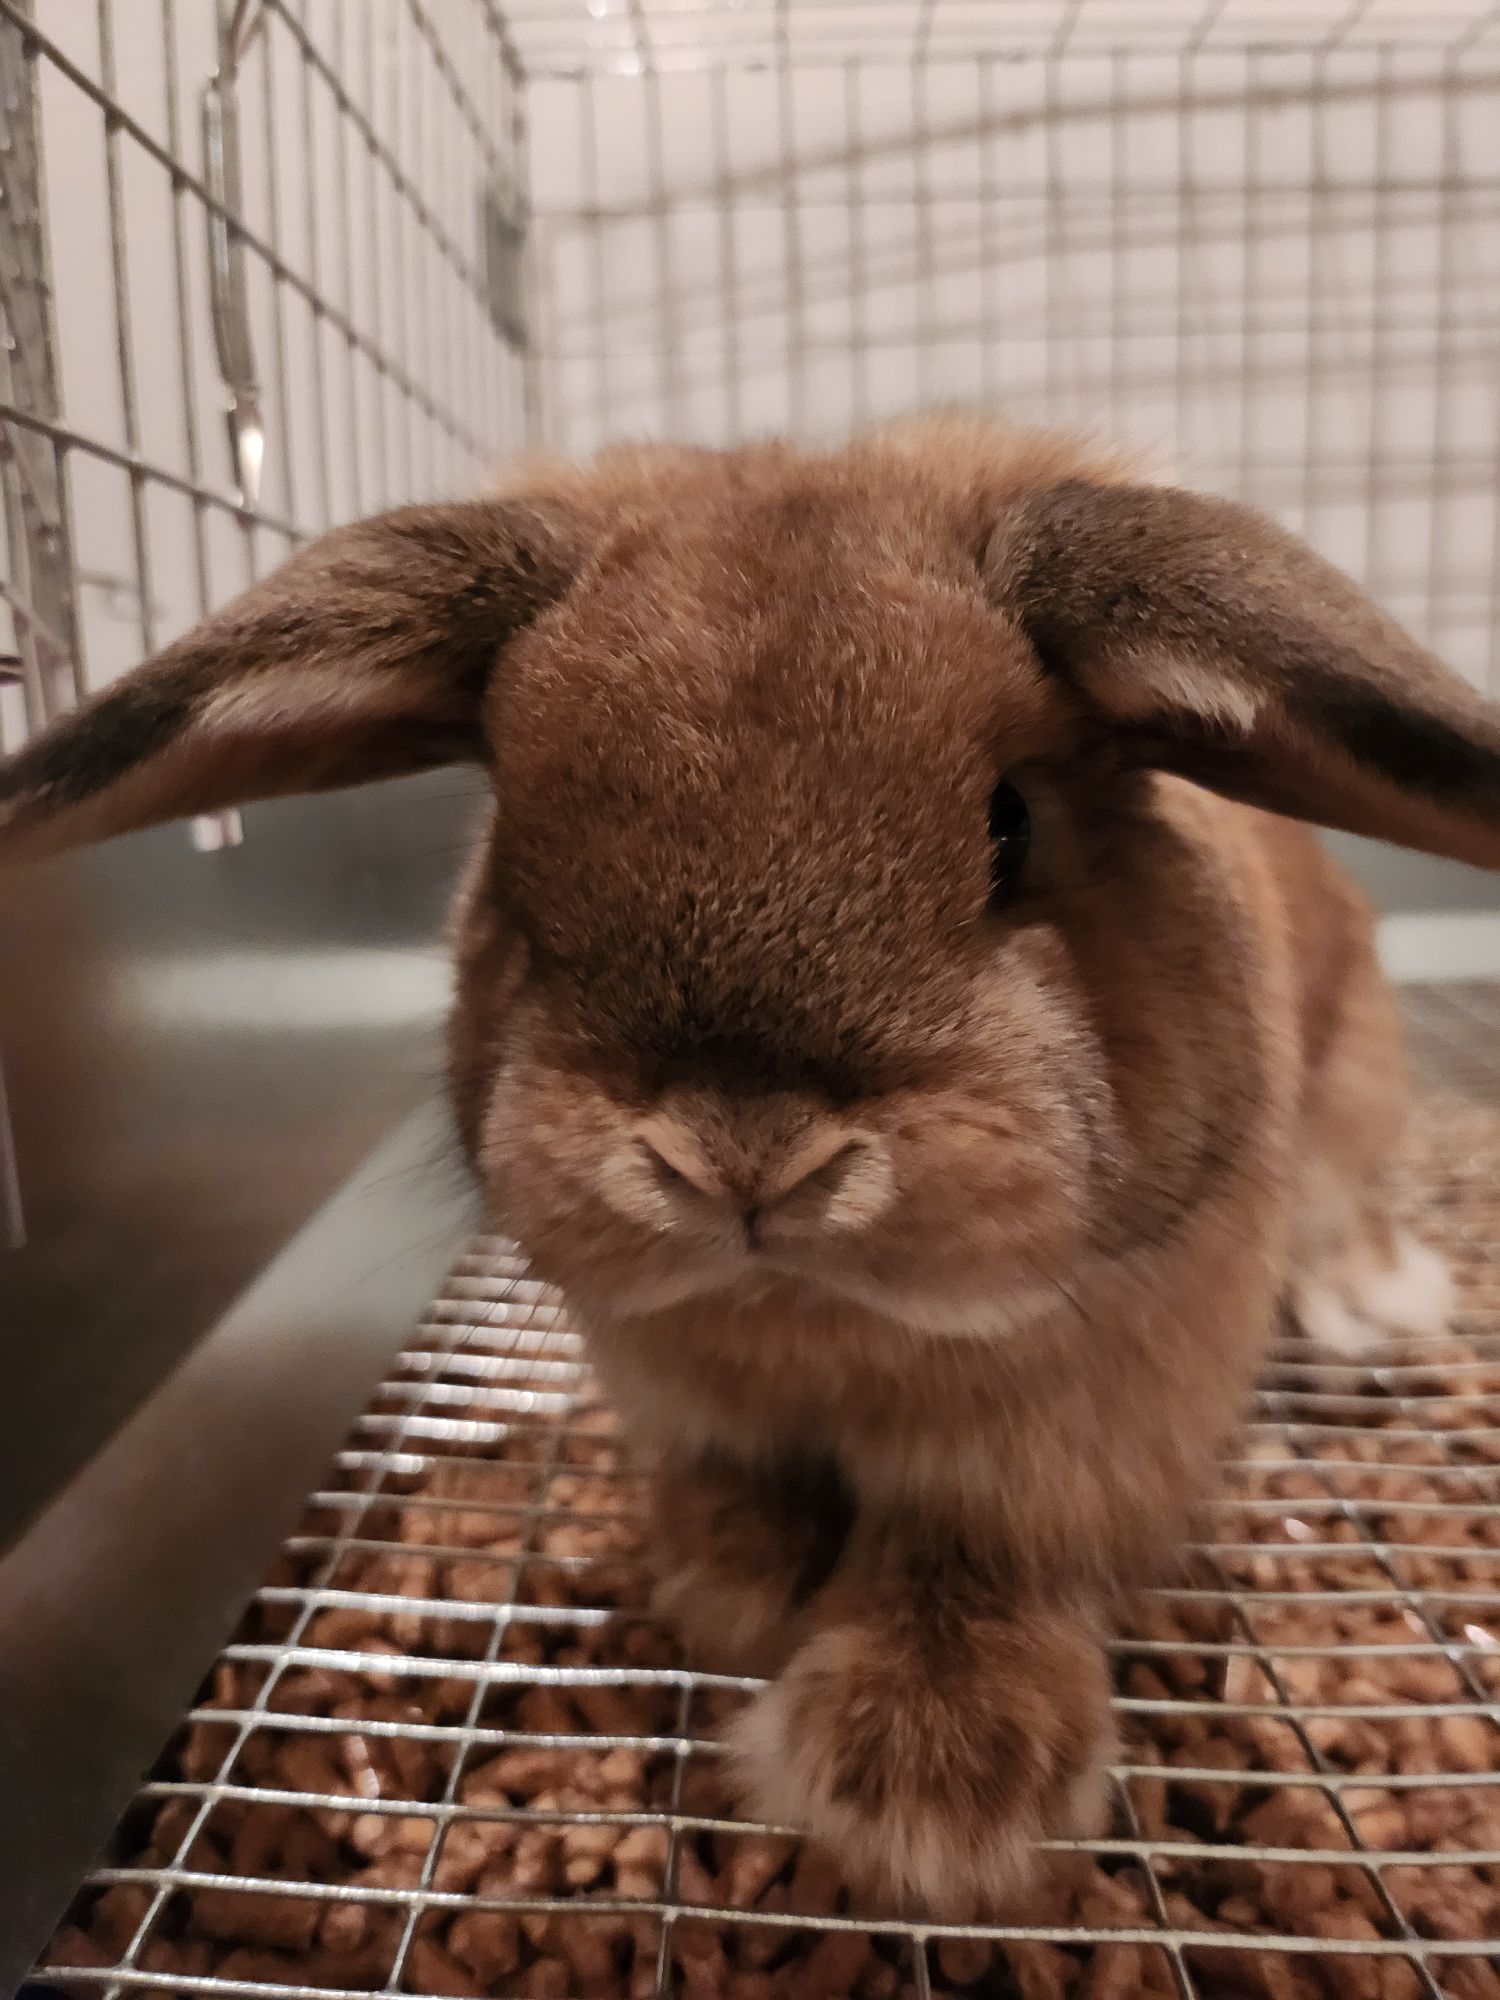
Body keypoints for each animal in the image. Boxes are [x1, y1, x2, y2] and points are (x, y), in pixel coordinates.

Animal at [4, 417, 1499, 1916]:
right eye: (517, 857)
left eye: (1011, 822)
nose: (743, 1157)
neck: (820, 1329)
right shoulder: (689, 1395)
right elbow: (745, 1496)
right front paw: (736, 1585)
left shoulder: (1069, 1442)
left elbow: (977, 1560)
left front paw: (933, 1779)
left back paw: (1374, 1308)